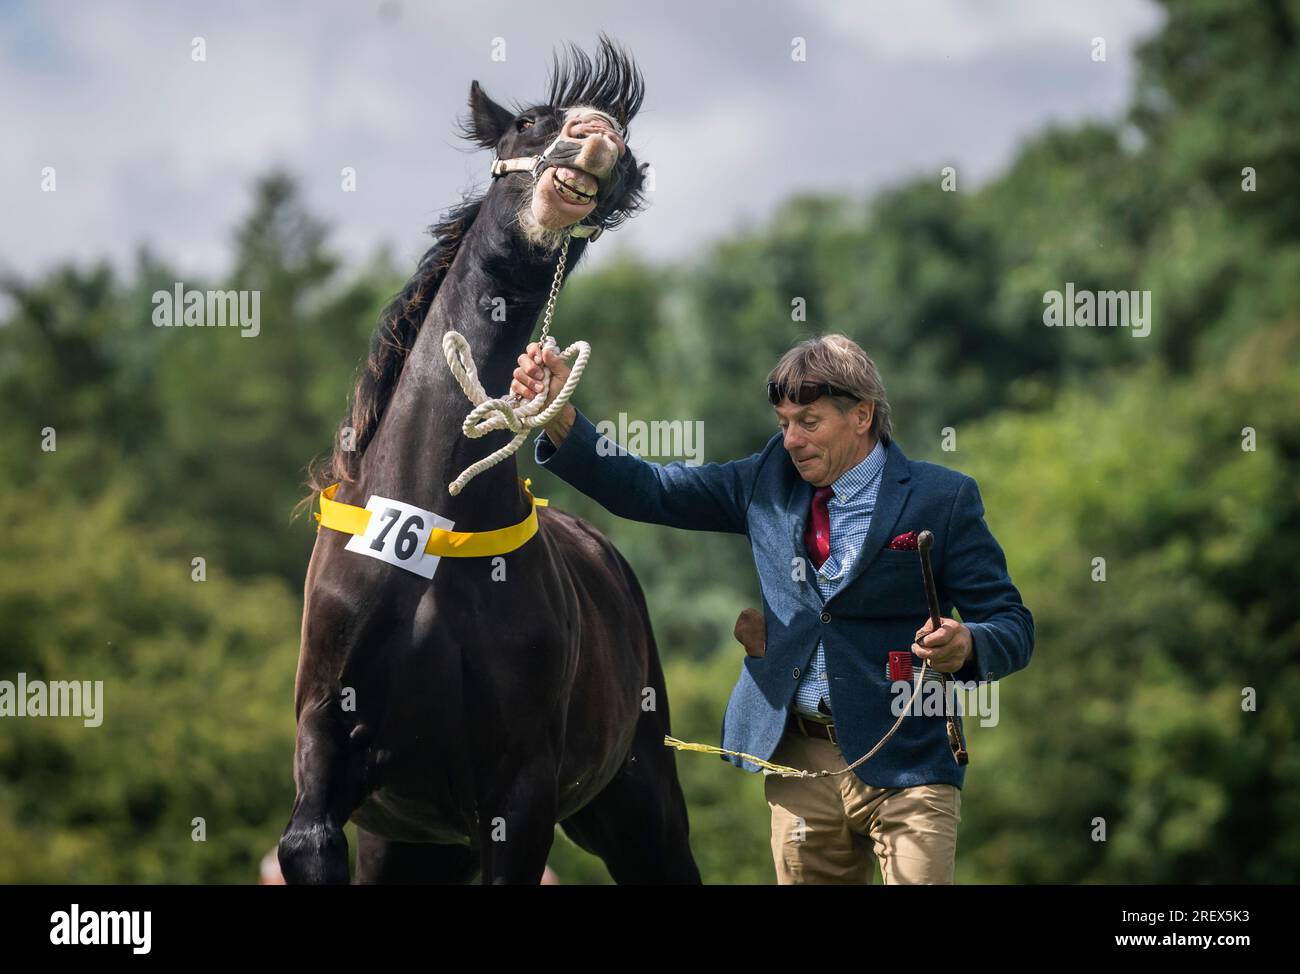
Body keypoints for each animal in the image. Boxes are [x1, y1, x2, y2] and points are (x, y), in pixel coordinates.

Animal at [277, 35, 701, 884]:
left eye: (627, 163)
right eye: (533, 121)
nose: (598, 139)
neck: (435, 521)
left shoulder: (518, 791)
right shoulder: (330, 743)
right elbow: (307, 840)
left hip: (640, 804)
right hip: (409, 843)